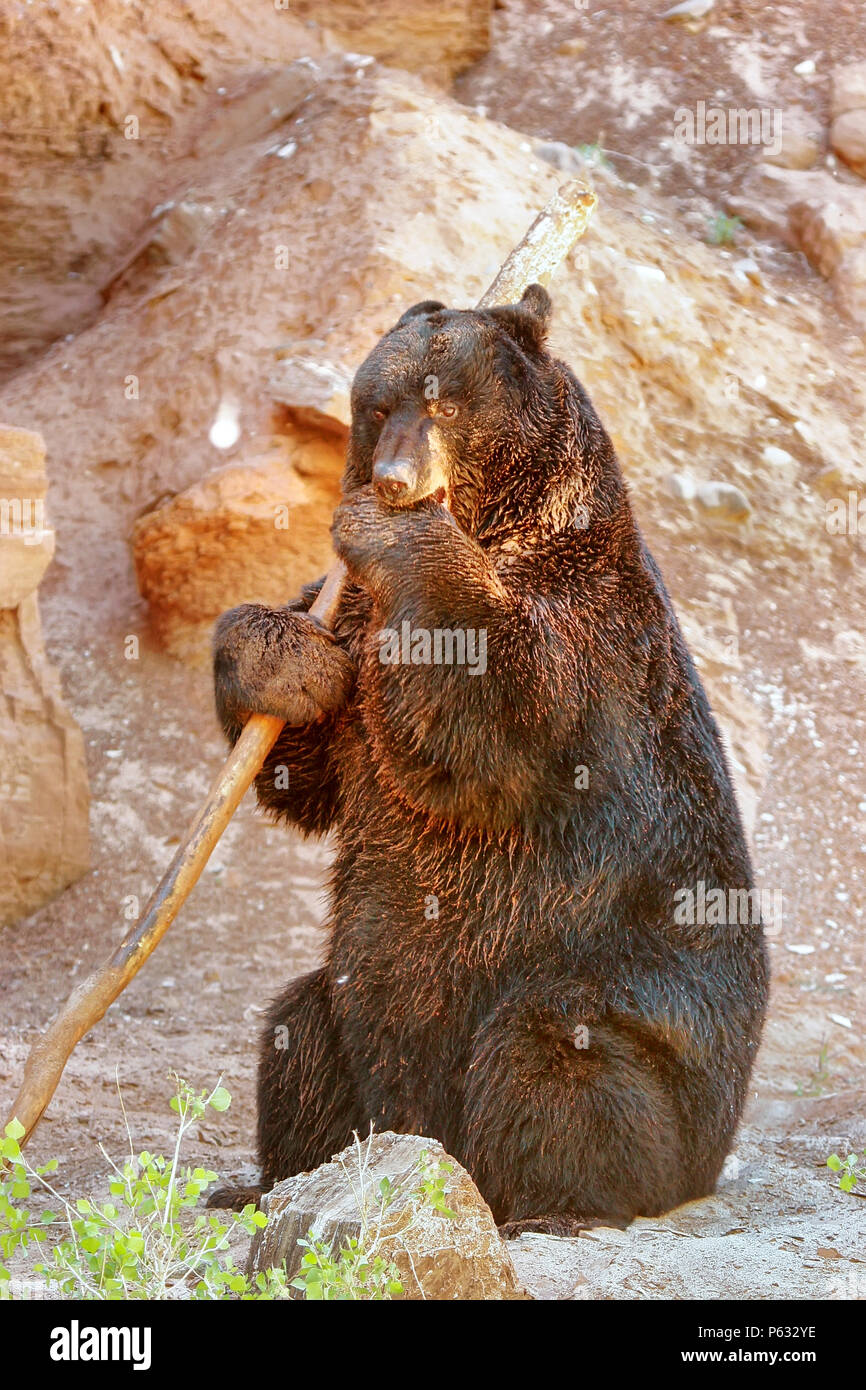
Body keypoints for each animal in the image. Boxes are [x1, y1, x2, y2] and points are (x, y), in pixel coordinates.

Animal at [209, 284, 769, 1234]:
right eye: (378, 406)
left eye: (444, 404)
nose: (393, 479)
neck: (495, 521)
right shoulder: (360, 631)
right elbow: (312, 770)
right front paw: (280, 658)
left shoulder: (591, 640)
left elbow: (496, 715)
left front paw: (393, 533)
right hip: (361, 1037)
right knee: (302, 1026)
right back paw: (268, 1180)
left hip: (651, 1029)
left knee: (553, 1050)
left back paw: (552, 1204)